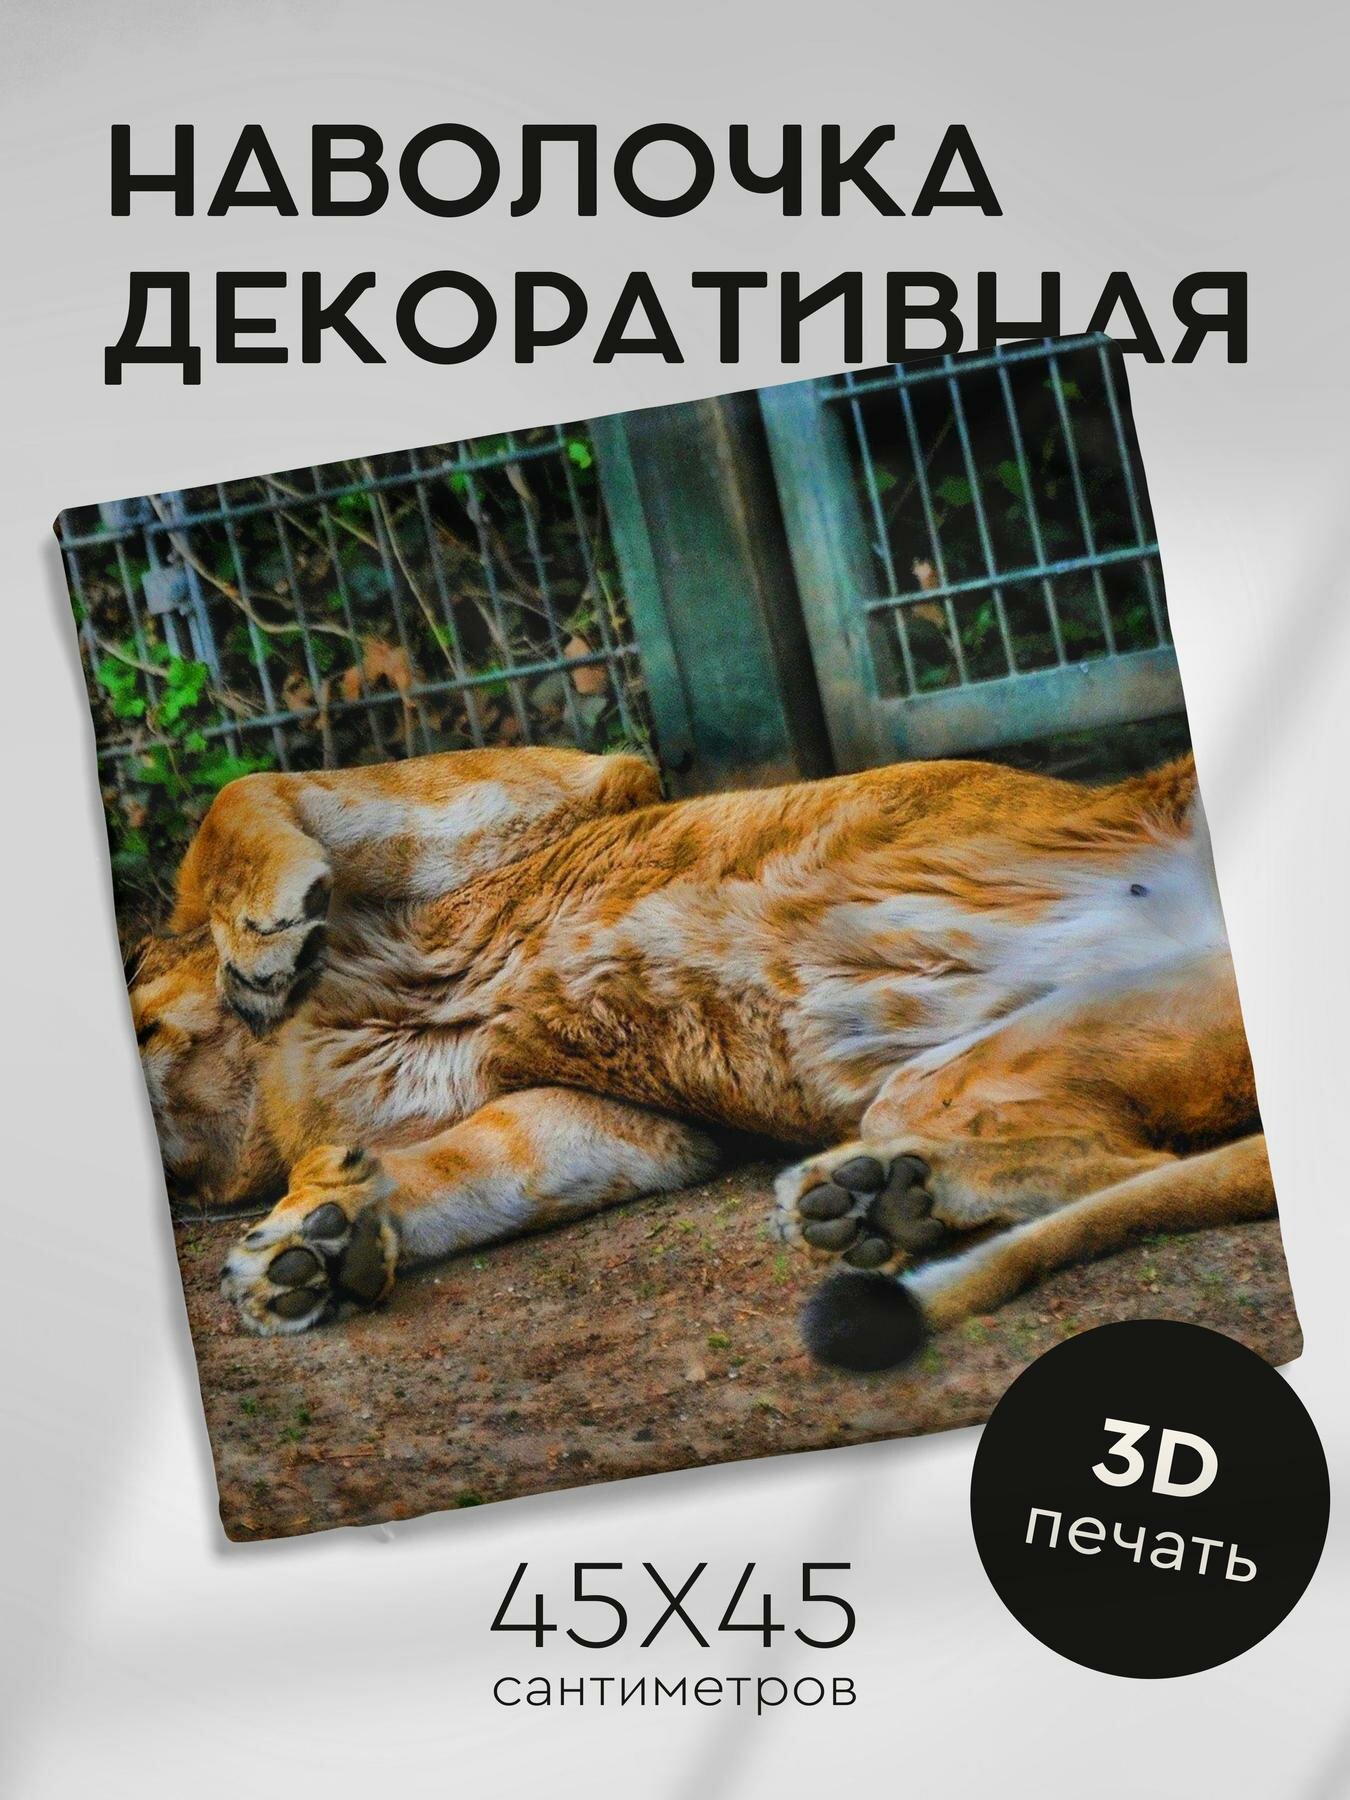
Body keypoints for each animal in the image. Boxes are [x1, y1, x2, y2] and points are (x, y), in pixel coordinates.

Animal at [124, 743, 1280, 1371]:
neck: (252, 1091)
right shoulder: (630, 1124)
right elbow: (459, 1171)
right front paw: (311, 1248)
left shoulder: (589, 781)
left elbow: (237, 796)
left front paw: (263, 945)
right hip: (978, 1067)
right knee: (1126, 1162)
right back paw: (879, 1198)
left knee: (1138, 1168)